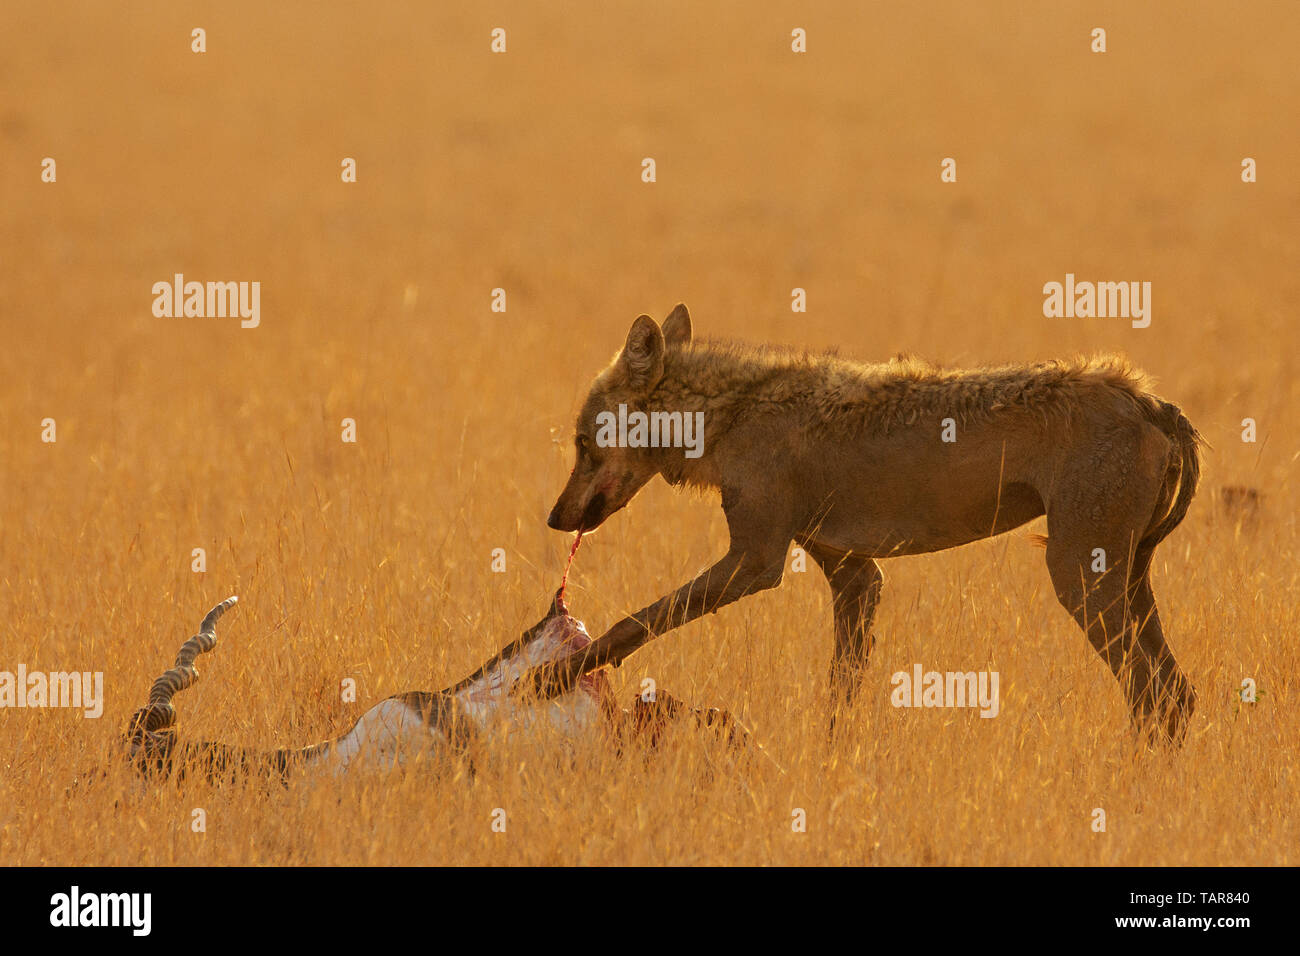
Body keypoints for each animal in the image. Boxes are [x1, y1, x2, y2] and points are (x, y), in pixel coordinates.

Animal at [533, 304, 1202, 745]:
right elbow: (843, 695)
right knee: (1178, 696)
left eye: (582, 443)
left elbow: (634, 623)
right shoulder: (855, 575)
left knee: (1153, 698)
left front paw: (544, 680)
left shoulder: (755, 563)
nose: (554, 518)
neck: (730, 416)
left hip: (1077, 578)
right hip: (1121, 579)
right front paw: (835, 762)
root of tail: (1150, 400)